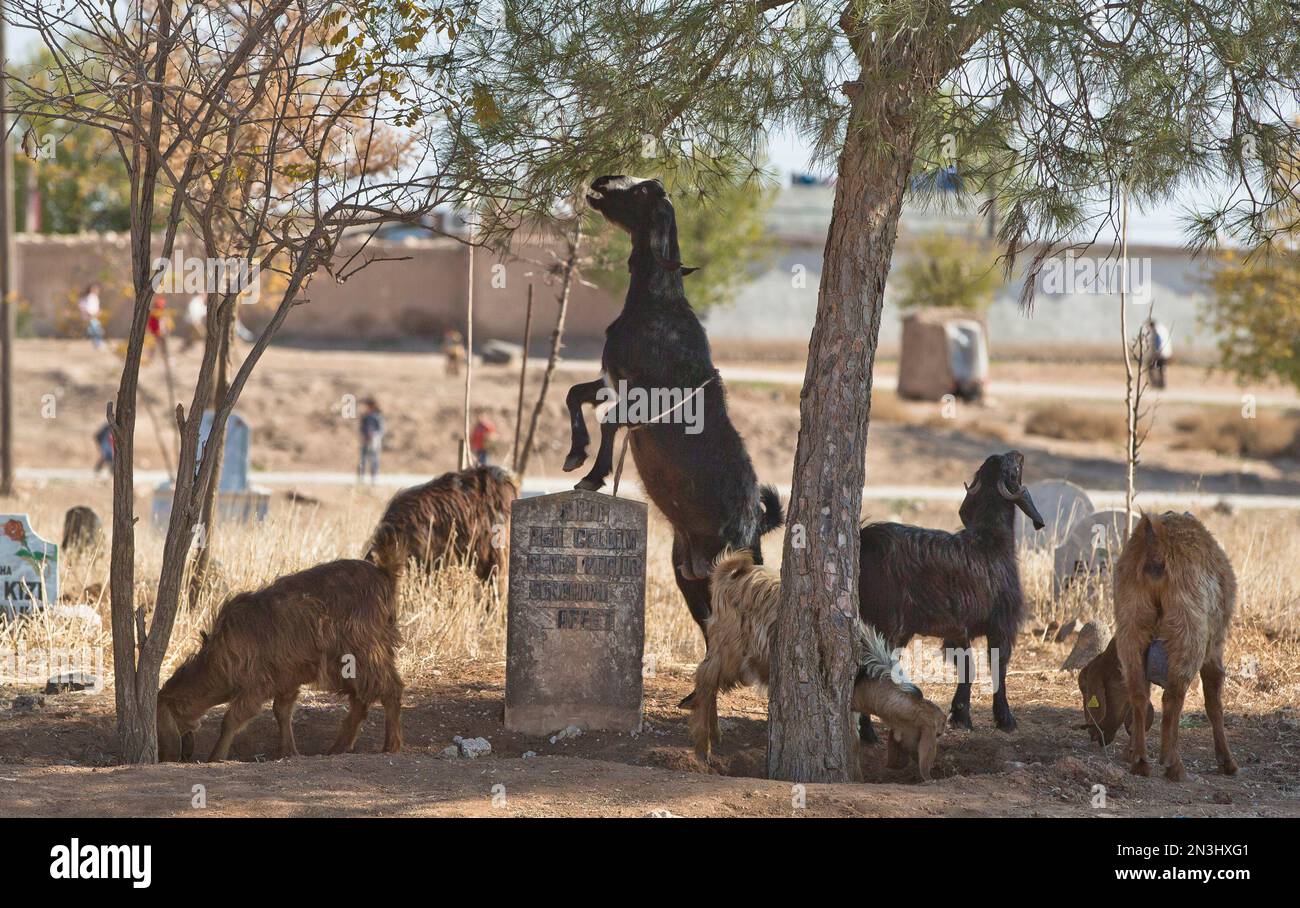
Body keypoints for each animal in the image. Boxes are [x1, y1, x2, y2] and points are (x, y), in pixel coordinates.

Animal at [156, 559, 404, 762]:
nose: (163, 757)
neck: (219, 656)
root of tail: (383, 576)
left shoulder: (256, 684)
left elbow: (231, 720)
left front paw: (216, 757)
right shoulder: (286, 678)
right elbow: (281, 712)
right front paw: (287, 751)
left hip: (363, 654)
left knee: (391, 689)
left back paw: (390, 745)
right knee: (360, 701)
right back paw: (339, 747)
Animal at [564, 175, 782, 633]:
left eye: (643, 191)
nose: (602, 180)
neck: (657, 303)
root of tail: (756, 525)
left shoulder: (646, 400)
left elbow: (609, 422)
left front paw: (593, 476)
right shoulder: (613, 381)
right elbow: (575, 394)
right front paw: (575, 454)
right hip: (687, 576)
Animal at [690, 550, 945, 780]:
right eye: (939, 733)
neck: (867, 670)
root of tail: (729, 576)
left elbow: (853, 742)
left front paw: (856, 777)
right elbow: (852, 742)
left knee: (710, 685)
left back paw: (715, 735)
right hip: (730, 647)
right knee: (704, 679)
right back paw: (703, 748)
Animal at [858, 451, 1045, 740]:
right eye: (1013, 469)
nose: (1019, 454)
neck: (990, 541)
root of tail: (866, 540)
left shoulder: (957, 631)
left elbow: (967, 668)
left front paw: (960, 716)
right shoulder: (1001, 624)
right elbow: (997, 666)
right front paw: (1005, 719)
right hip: (885, 624)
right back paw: (868, 733)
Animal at [1110, 511, 1237, 781]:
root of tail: (1156, 541)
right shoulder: (1214, 647)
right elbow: (1214, 700)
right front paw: (1227, 761)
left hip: (1131, 625)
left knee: (1138, 692)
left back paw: (1140, 760)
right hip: (1188, 630)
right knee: (1173, 696)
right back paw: (1173, 764)